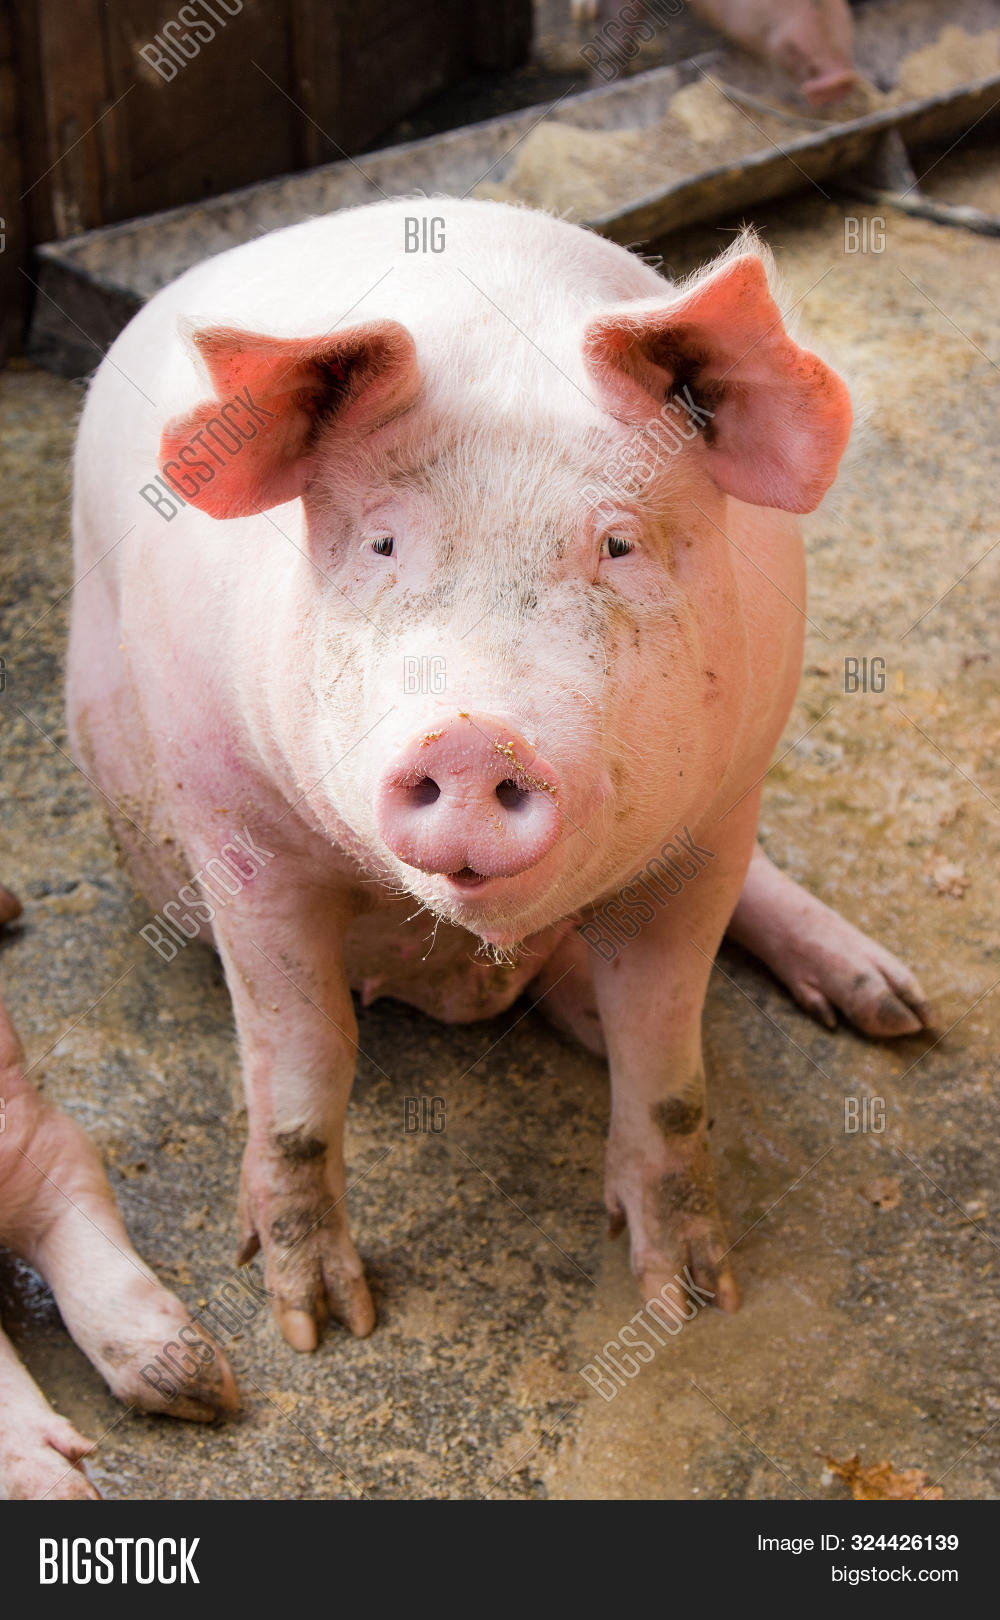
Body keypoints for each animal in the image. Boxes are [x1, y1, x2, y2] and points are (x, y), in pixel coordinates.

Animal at [67, 198, 927, 1351]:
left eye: (618, 545)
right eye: (383, 544)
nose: (476, 740)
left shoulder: (711, 828)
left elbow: (670, 1071)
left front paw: (694, 1300)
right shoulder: (235, 828)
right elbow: (300, 1065)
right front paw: (321, 1325)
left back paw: (896, 1013)